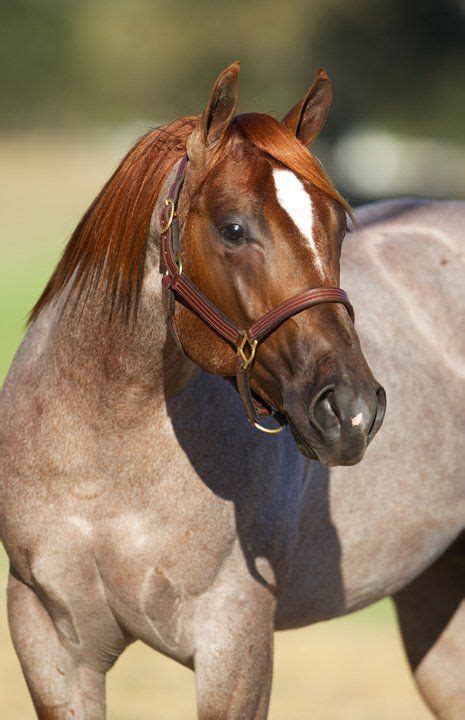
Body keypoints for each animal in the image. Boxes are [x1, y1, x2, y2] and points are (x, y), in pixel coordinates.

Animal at [0, 61, 463, 719]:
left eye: (336, 229)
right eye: (234, 229)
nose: (352, 412)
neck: (103, 456)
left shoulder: (233, 641)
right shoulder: (50, 644)